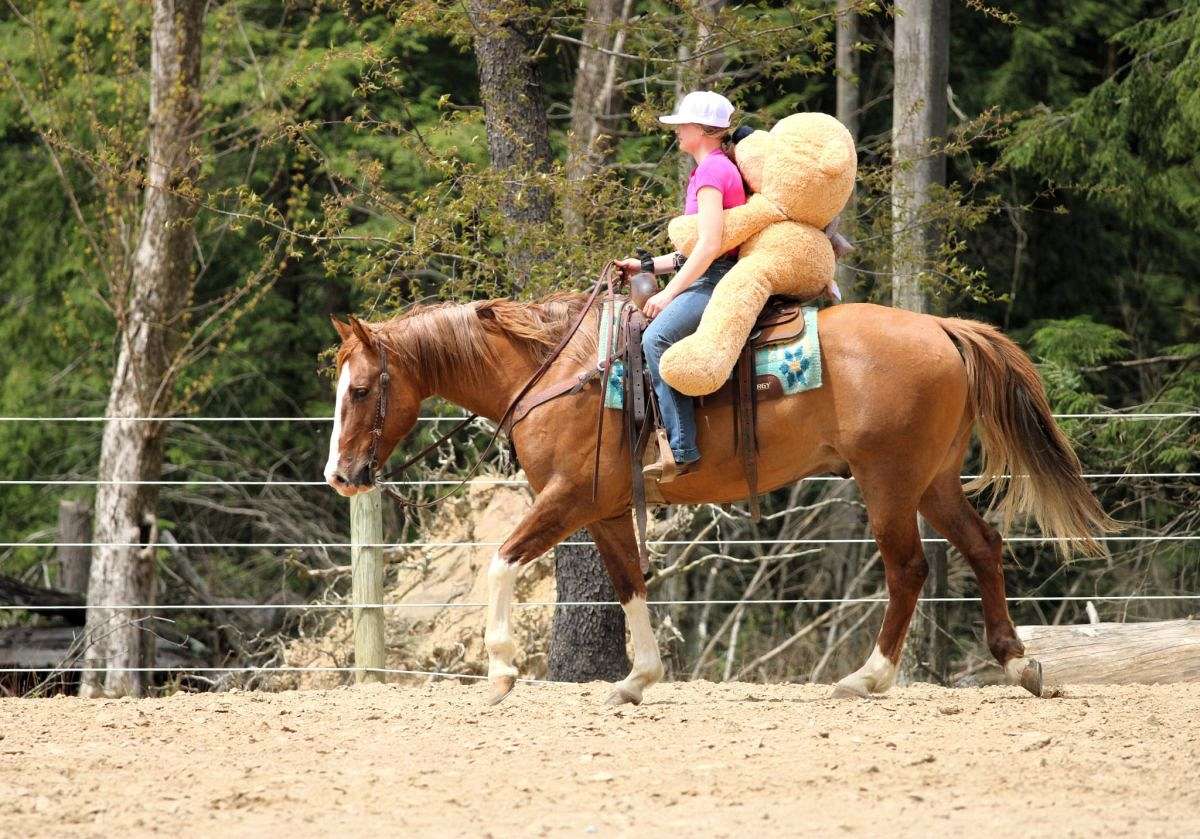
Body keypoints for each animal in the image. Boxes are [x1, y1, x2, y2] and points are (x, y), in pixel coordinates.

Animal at [323, 291, 1117, 706]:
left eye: (359, 390)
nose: (340, 474)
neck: (560, 371)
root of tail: (942, 328)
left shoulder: (566, 499)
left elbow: (500, 561)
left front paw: (499, 672)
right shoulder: (603, 510)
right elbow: (630, 583)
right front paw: (637, 680)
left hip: (889, 482)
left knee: (908, 571)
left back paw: (866, 676)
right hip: (934, 482)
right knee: (983, 547)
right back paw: (1018, 664)